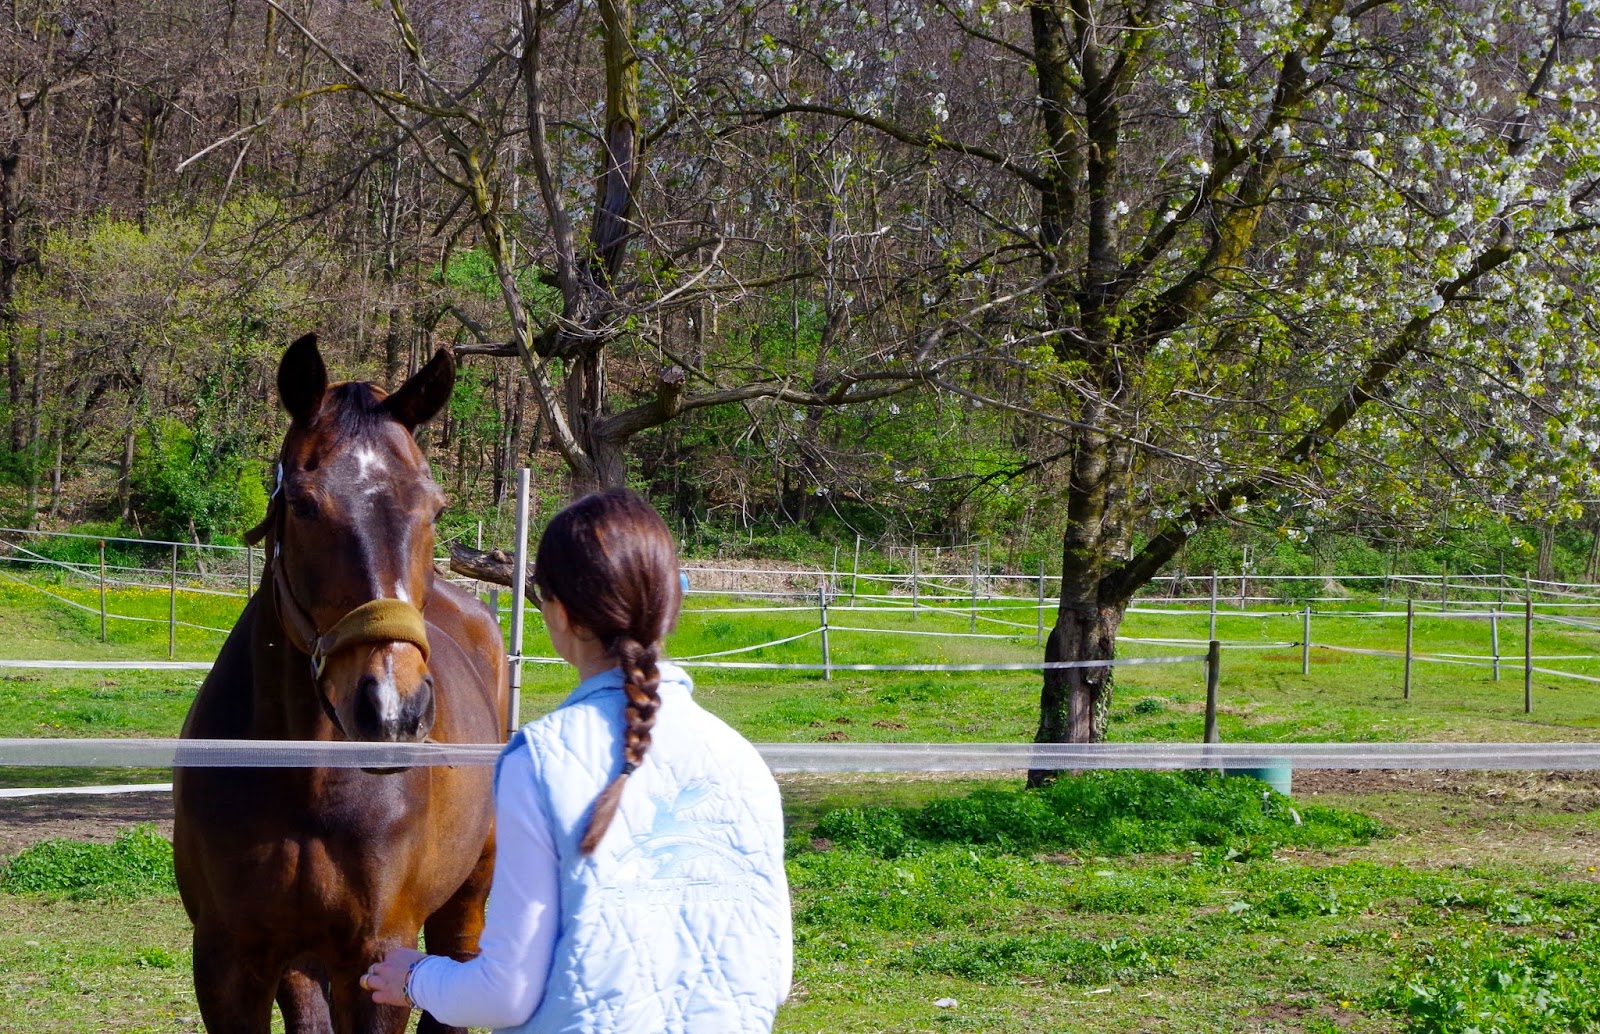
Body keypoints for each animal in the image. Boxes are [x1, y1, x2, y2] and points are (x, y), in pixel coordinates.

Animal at [173, 334, 508, 1034]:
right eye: (302, 504)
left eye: (434, 507)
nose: (393, 710)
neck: (305, 779)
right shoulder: (227, 960)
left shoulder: (377, 954)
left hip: (467, 897)